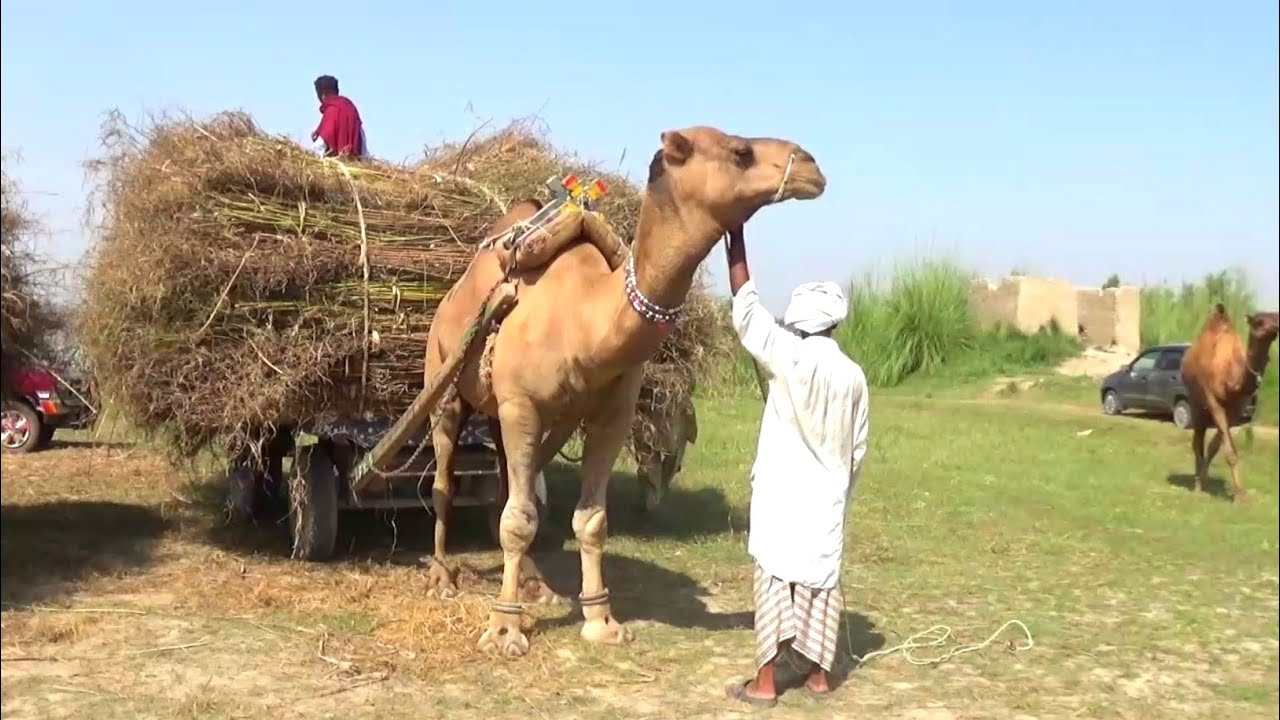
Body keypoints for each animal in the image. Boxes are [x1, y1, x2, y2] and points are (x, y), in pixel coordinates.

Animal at [422, 127, 825, 656]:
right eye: (741, 152)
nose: (812, 166)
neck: (584, 319)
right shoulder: (522, 407)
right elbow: (519, 519)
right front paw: (505, 629)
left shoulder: (610, 414)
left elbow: (588, 519)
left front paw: (602, 621)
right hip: (445, 383)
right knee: (445, 479)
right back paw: (441, 576)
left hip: (497, 409)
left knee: (509, 482)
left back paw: (536, 583)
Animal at [1181, 304, 1279, 502]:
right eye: (1258, 321)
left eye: (1278, 317)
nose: (1275, 328)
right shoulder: (1212, 400)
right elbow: (1227, 451)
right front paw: (1237, 497)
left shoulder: (1237, 408)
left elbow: (1216, 447)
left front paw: (1235, 492)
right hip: (1195, 401)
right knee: (1197, 442)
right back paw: (1196, 484)